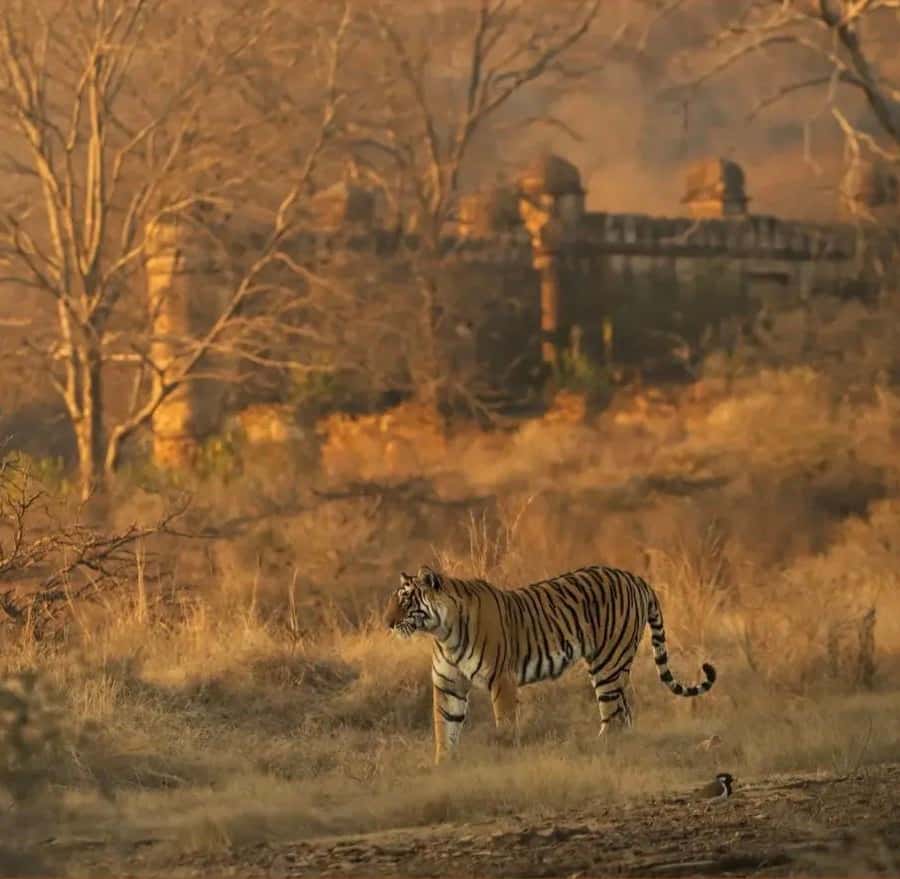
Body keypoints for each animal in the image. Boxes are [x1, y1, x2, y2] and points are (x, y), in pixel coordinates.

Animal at [383, 563, 716, 764]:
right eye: (393, 600)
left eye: (406, 601)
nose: (386, 623)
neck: (442, 633)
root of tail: (634, 577)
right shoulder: (448, 684)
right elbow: (445, 728)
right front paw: (443, 766)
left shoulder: (501, 679)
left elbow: (505, 725)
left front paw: (504, 758)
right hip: (612, 666)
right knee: (625, 714)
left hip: (608, 664)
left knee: (613, 715)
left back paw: (599, 749)